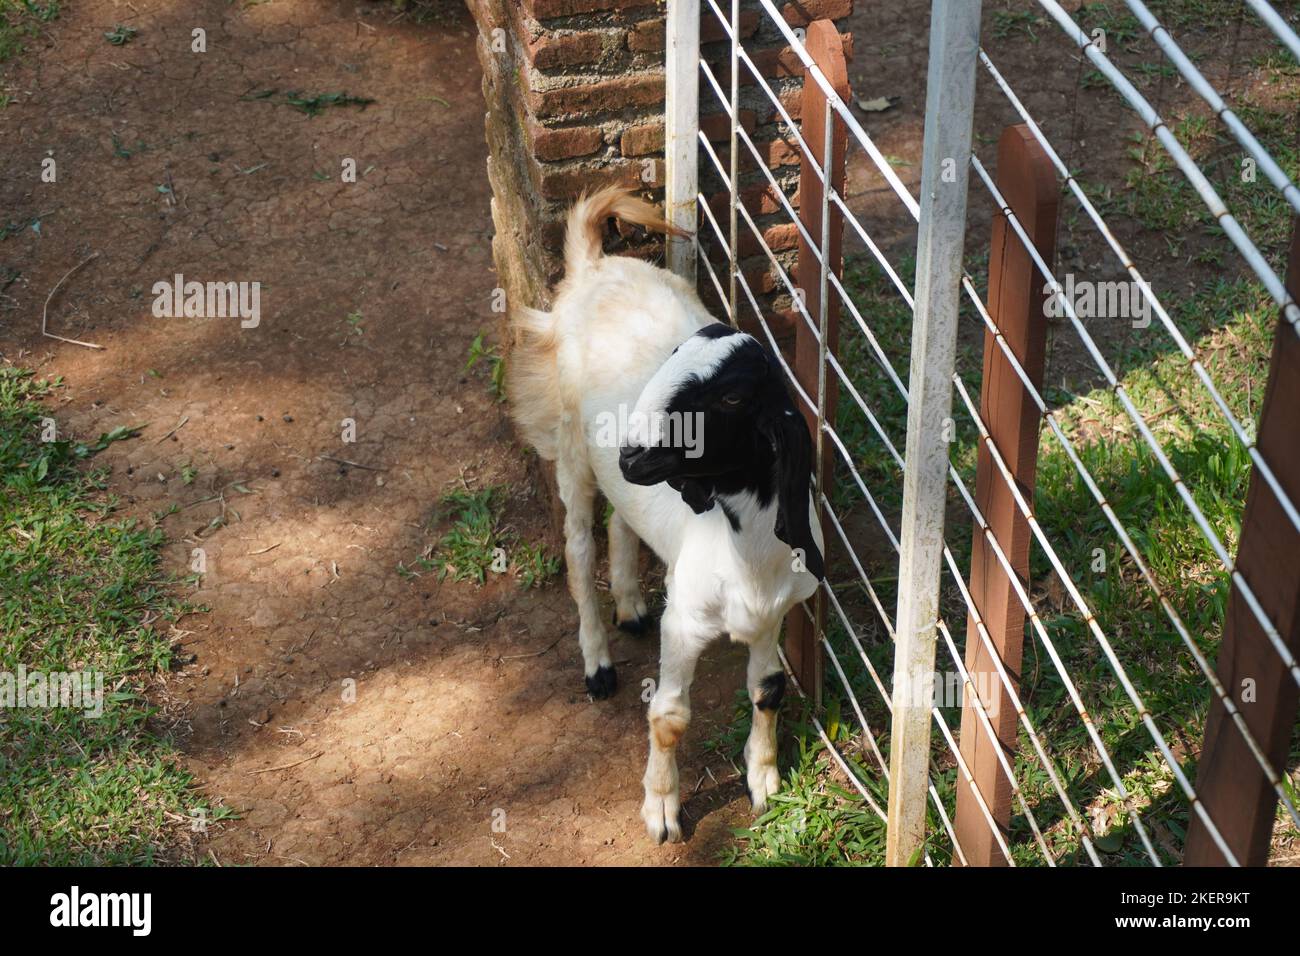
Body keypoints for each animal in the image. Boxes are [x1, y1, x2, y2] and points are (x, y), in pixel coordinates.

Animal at [507, 186, 825, 844]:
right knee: (579, 550)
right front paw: (660, 809)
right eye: (674, 358)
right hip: (571, 450)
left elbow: (769, 689)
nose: (630, 453)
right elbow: (670, 716)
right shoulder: (684, 624)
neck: (745, 554)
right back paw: (598, 660)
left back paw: (629, 604)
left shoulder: (772, 614)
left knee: (620, 522)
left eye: (731, 396)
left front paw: (764, 779)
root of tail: (594, 265)